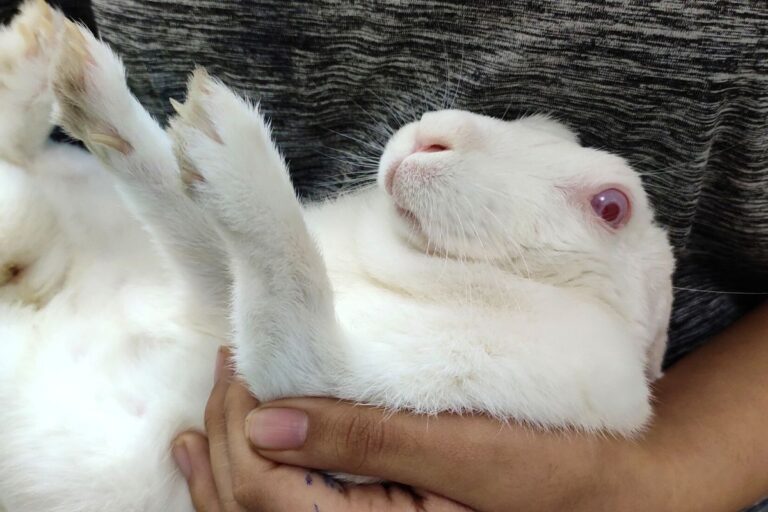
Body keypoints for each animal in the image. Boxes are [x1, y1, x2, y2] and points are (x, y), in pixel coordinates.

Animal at [0, 2, 675, 511]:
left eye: (611, 206)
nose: (432, 137)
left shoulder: (312, 383)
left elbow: (290, 283)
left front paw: (228, 136)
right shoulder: (216, 296)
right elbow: (181, 210)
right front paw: (123, 102)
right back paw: (44, 50)